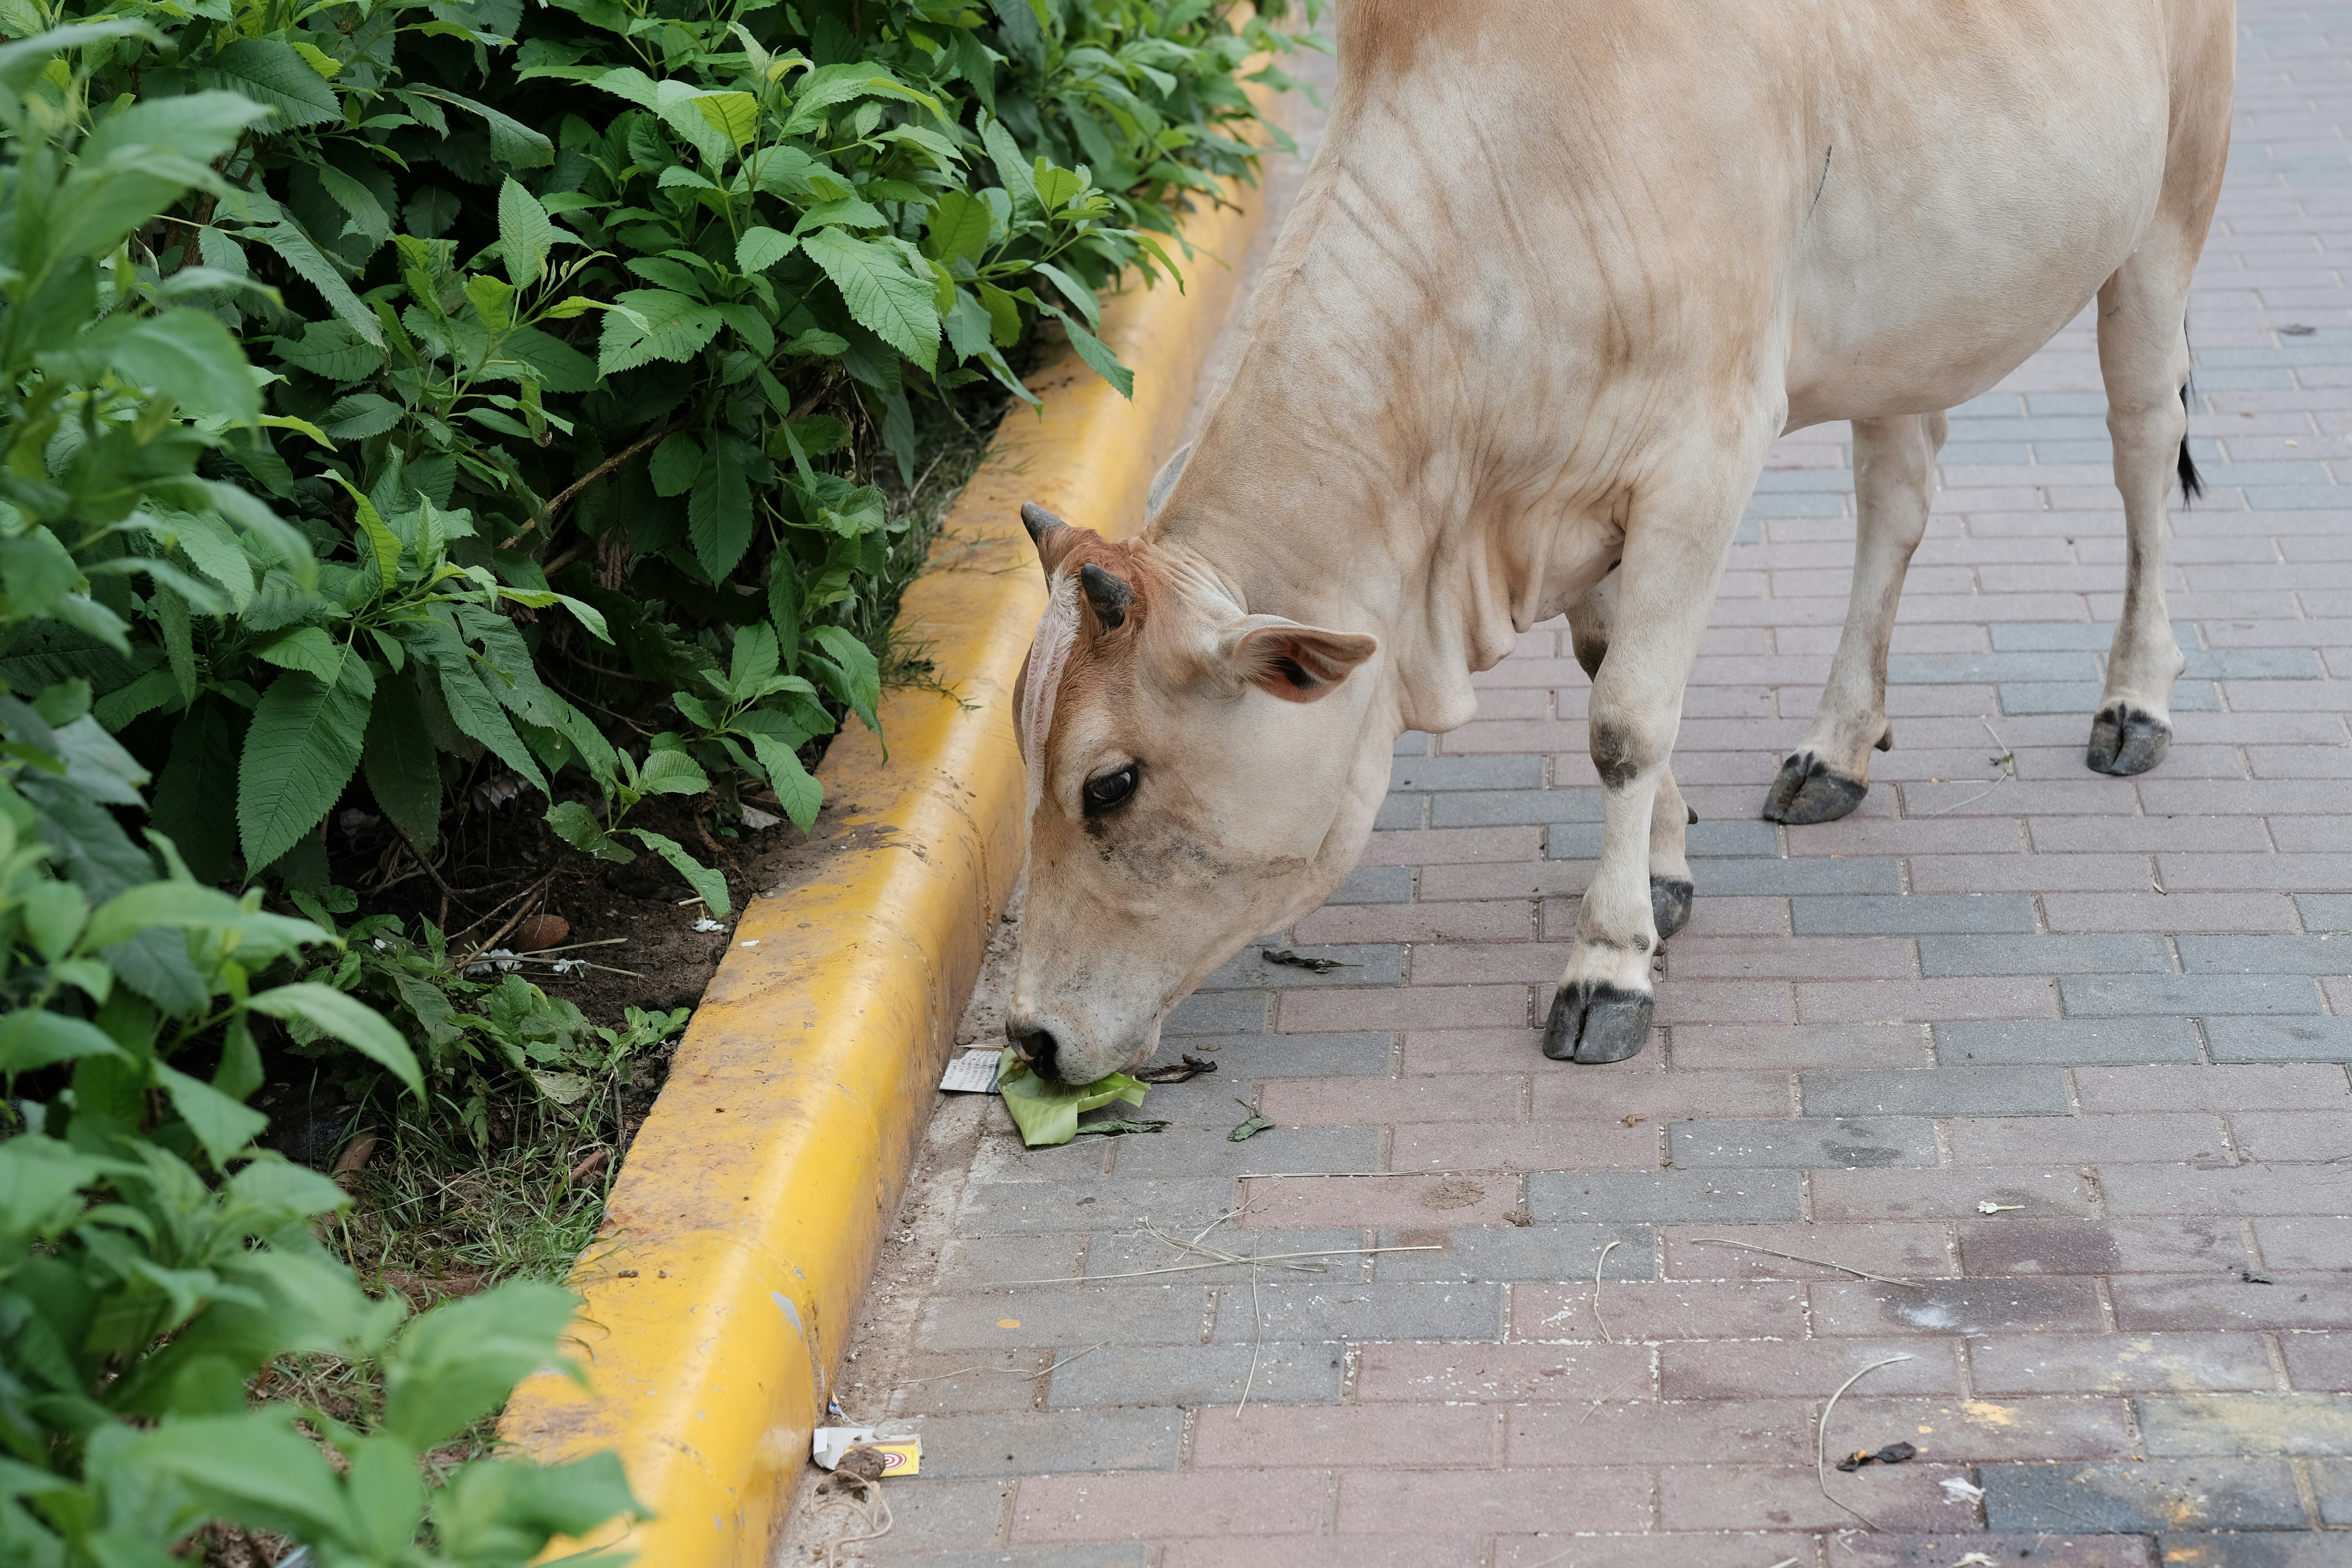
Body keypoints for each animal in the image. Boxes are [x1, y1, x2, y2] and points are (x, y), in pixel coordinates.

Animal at [1006, 0, 2234, 1081]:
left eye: (1111, 784)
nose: (1031, 1038)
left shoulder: (1705, 455)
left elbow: (1626, 721)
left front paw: (1610, 966)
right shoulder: (1578, 497)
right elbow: (1608, 667)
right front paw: (1669, 869)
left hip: (2170, 214)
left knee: (2141, 446)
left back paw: (2134, 701)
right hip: (1909, 331)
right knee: (1898, 494)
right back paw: (1836, 746)